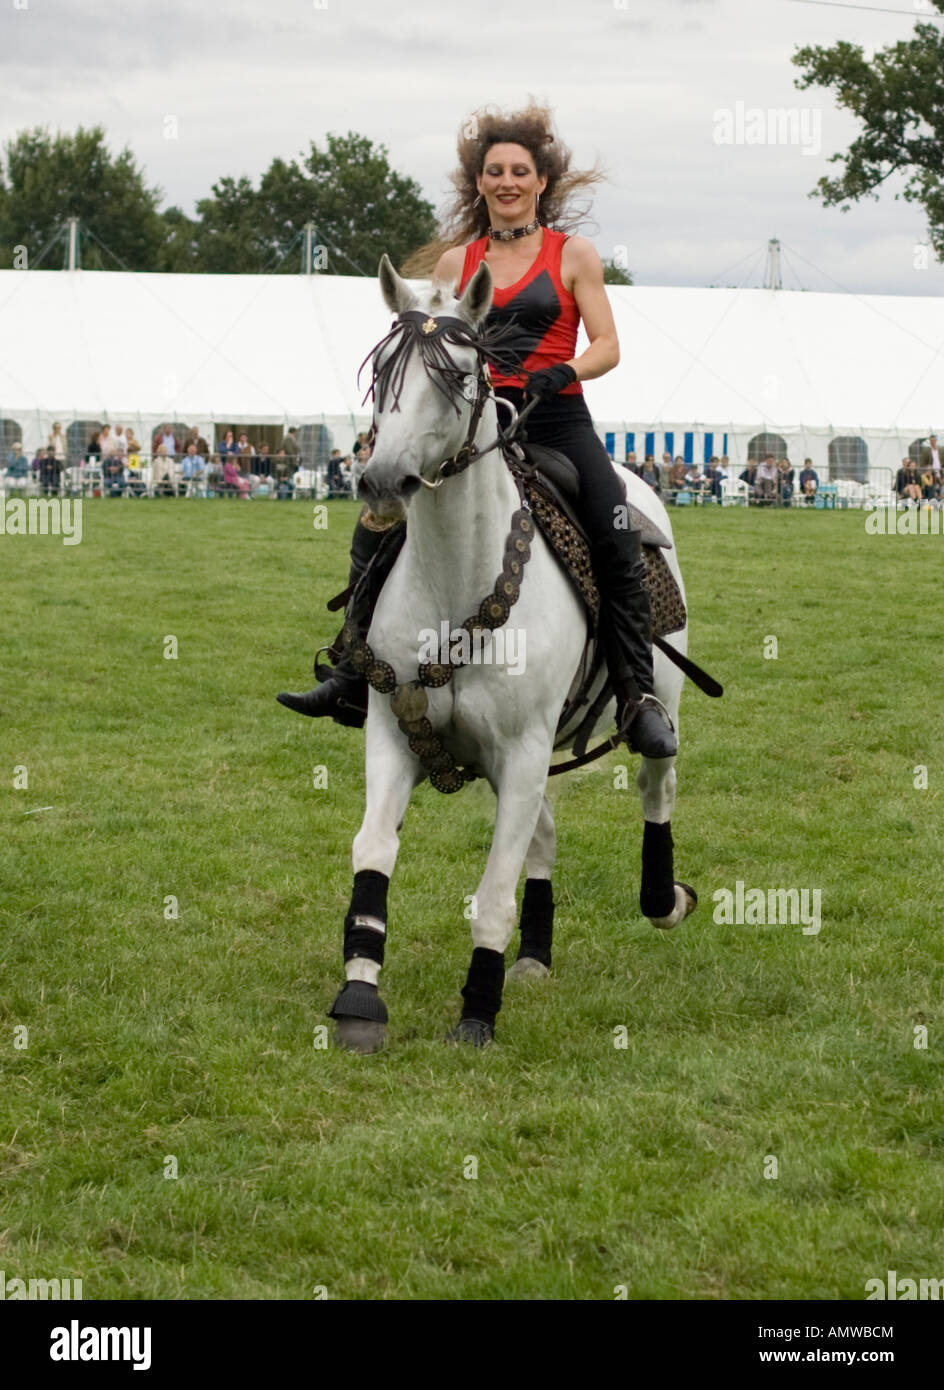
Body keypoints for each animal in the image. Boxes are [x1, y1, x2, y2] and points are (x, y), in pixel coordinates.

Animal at [327, 253, 696, 1052]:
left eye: (460, 375)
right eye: (382, 372)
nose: (381, 480)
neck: (454, 580)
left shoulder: (523, 752)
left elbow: (493, 891)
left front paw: (476, 1013)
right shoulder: (396, 737)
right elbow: (373, 850)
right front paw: (359, 996)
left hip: (658, 707)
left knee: (656, 786)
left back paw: (664, 899)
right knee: (545, 837)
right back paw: (534, 954)